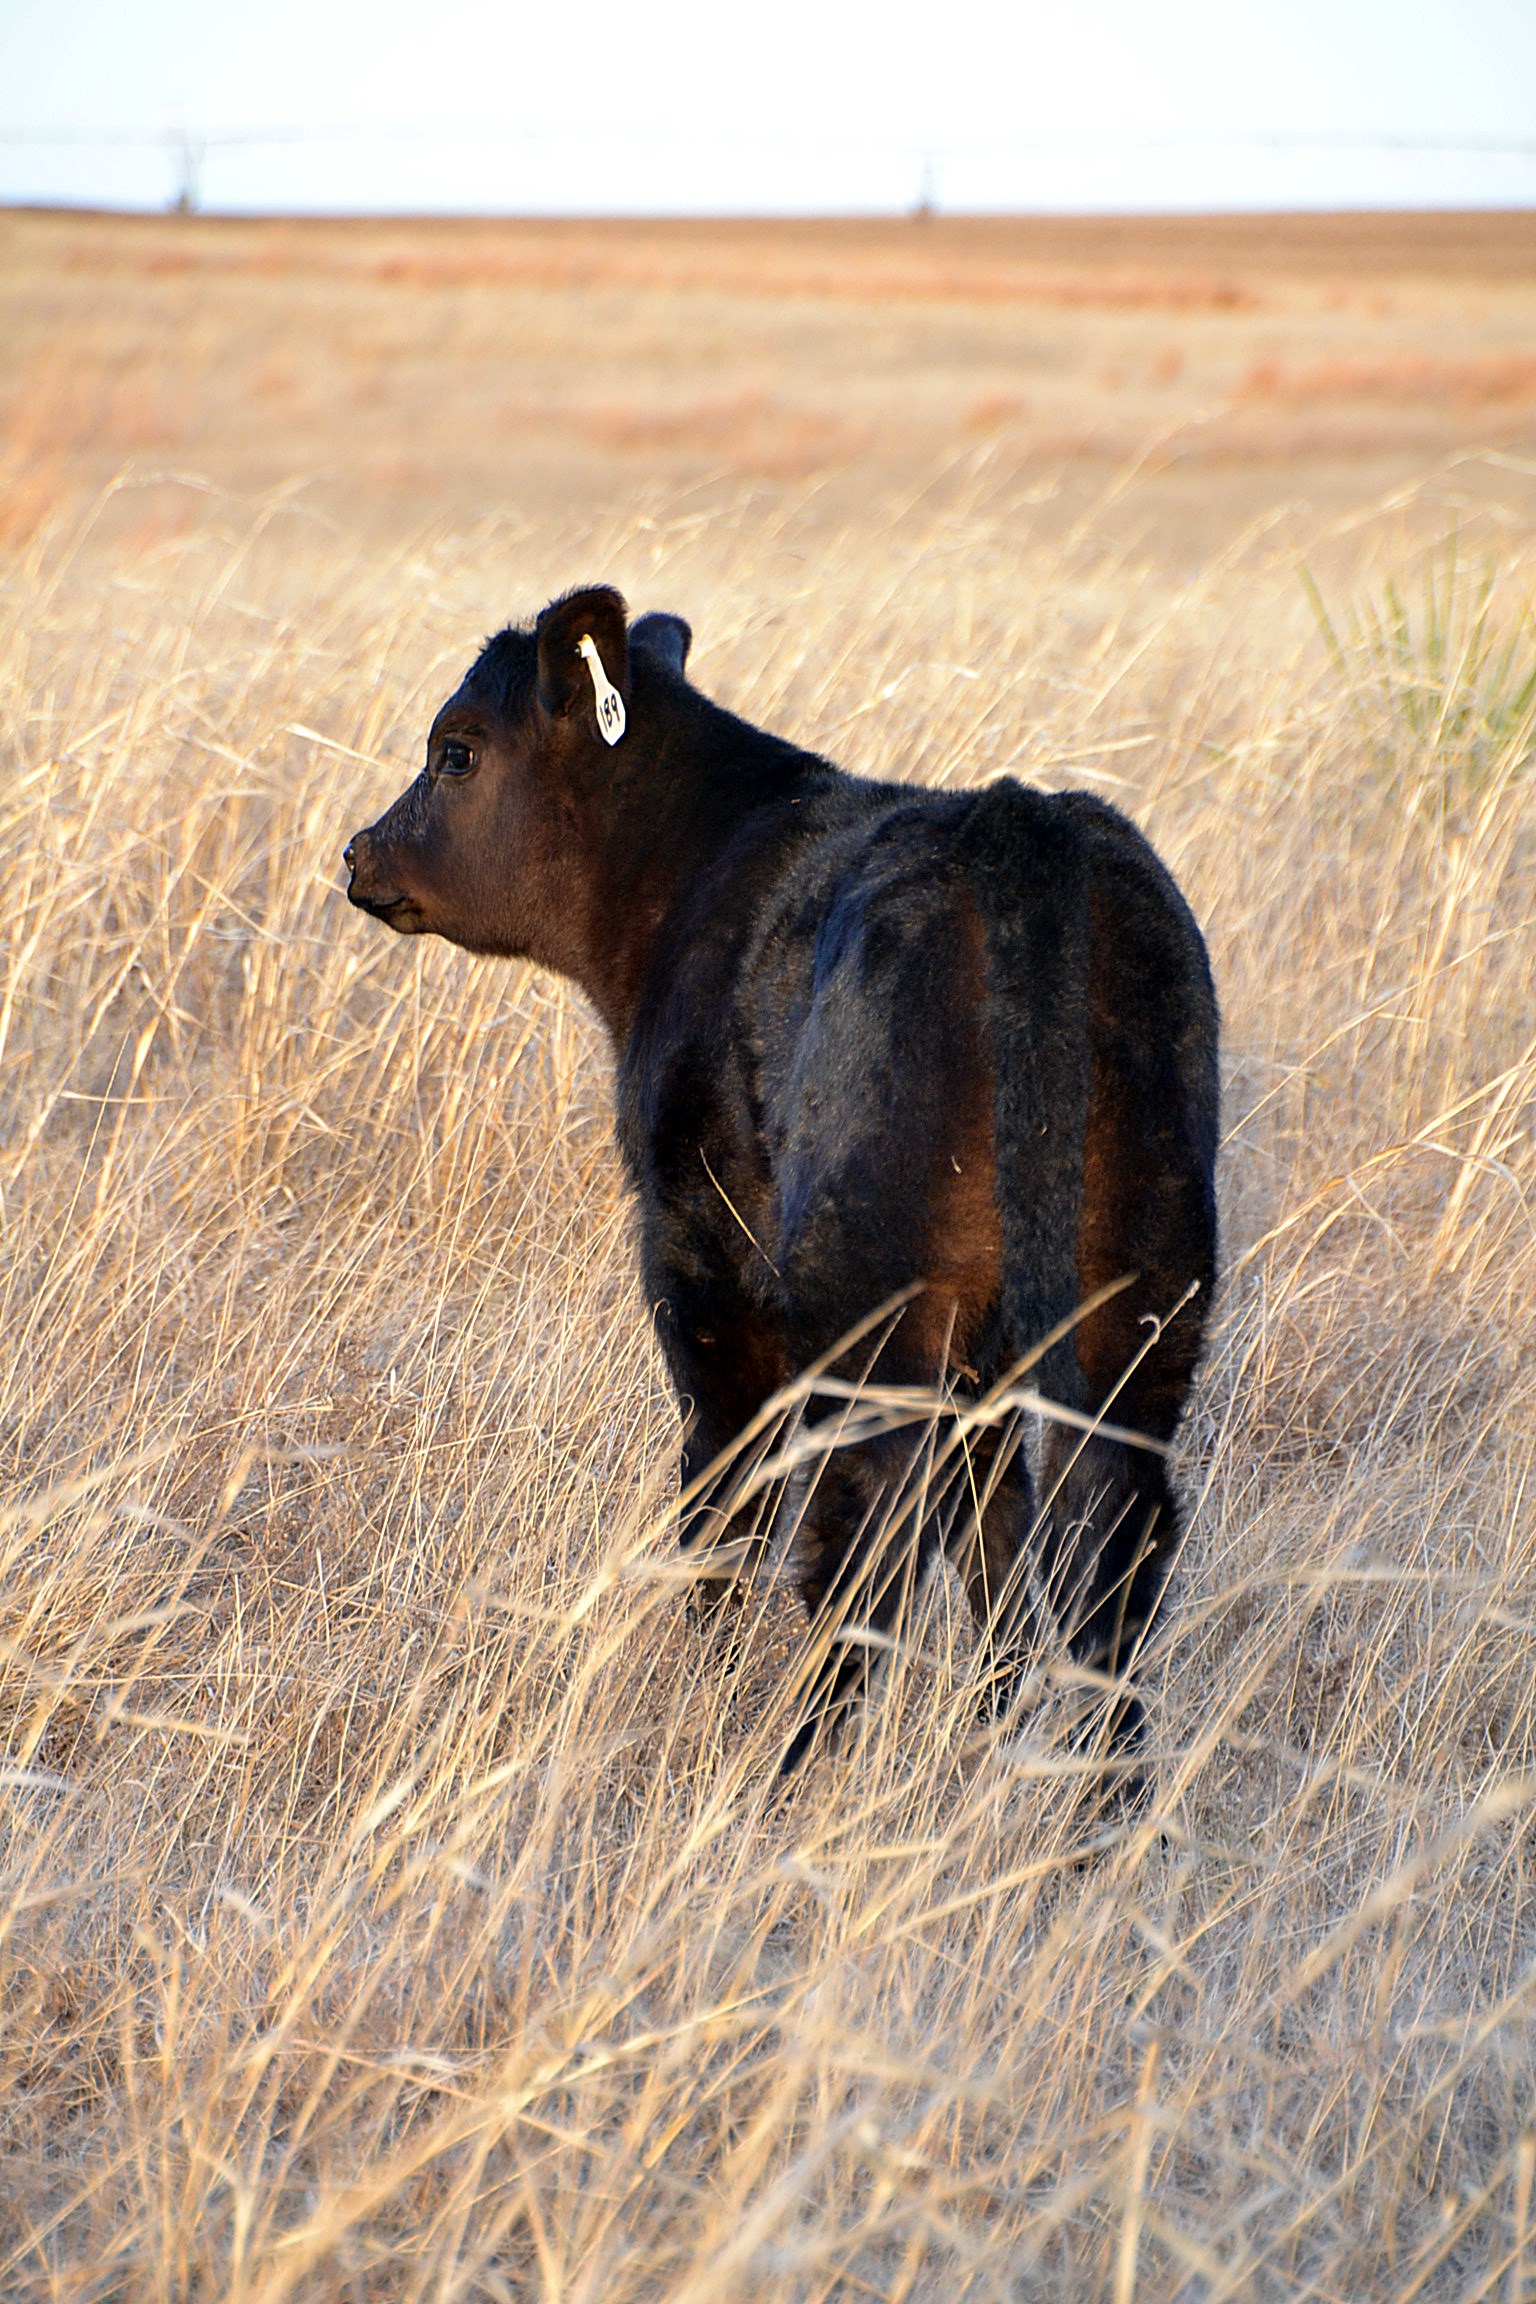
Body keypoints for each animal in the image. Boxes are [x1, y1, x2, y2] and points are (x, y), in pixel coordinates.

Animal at [344, 585, 1219, 1784]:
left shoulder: (699, 1264)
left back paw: (795, 1767)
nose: (358, 852)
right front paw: (995, 1714)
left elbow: (724, 1491)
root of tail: (1022, 829)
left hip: (868, 1300)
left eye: (457, 752)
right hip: (1143, 1291)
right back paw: (1103, 1794)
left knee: (862, 1535)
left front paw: (697, 1680)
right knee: (1105, 1529)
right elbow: (993, 1529)